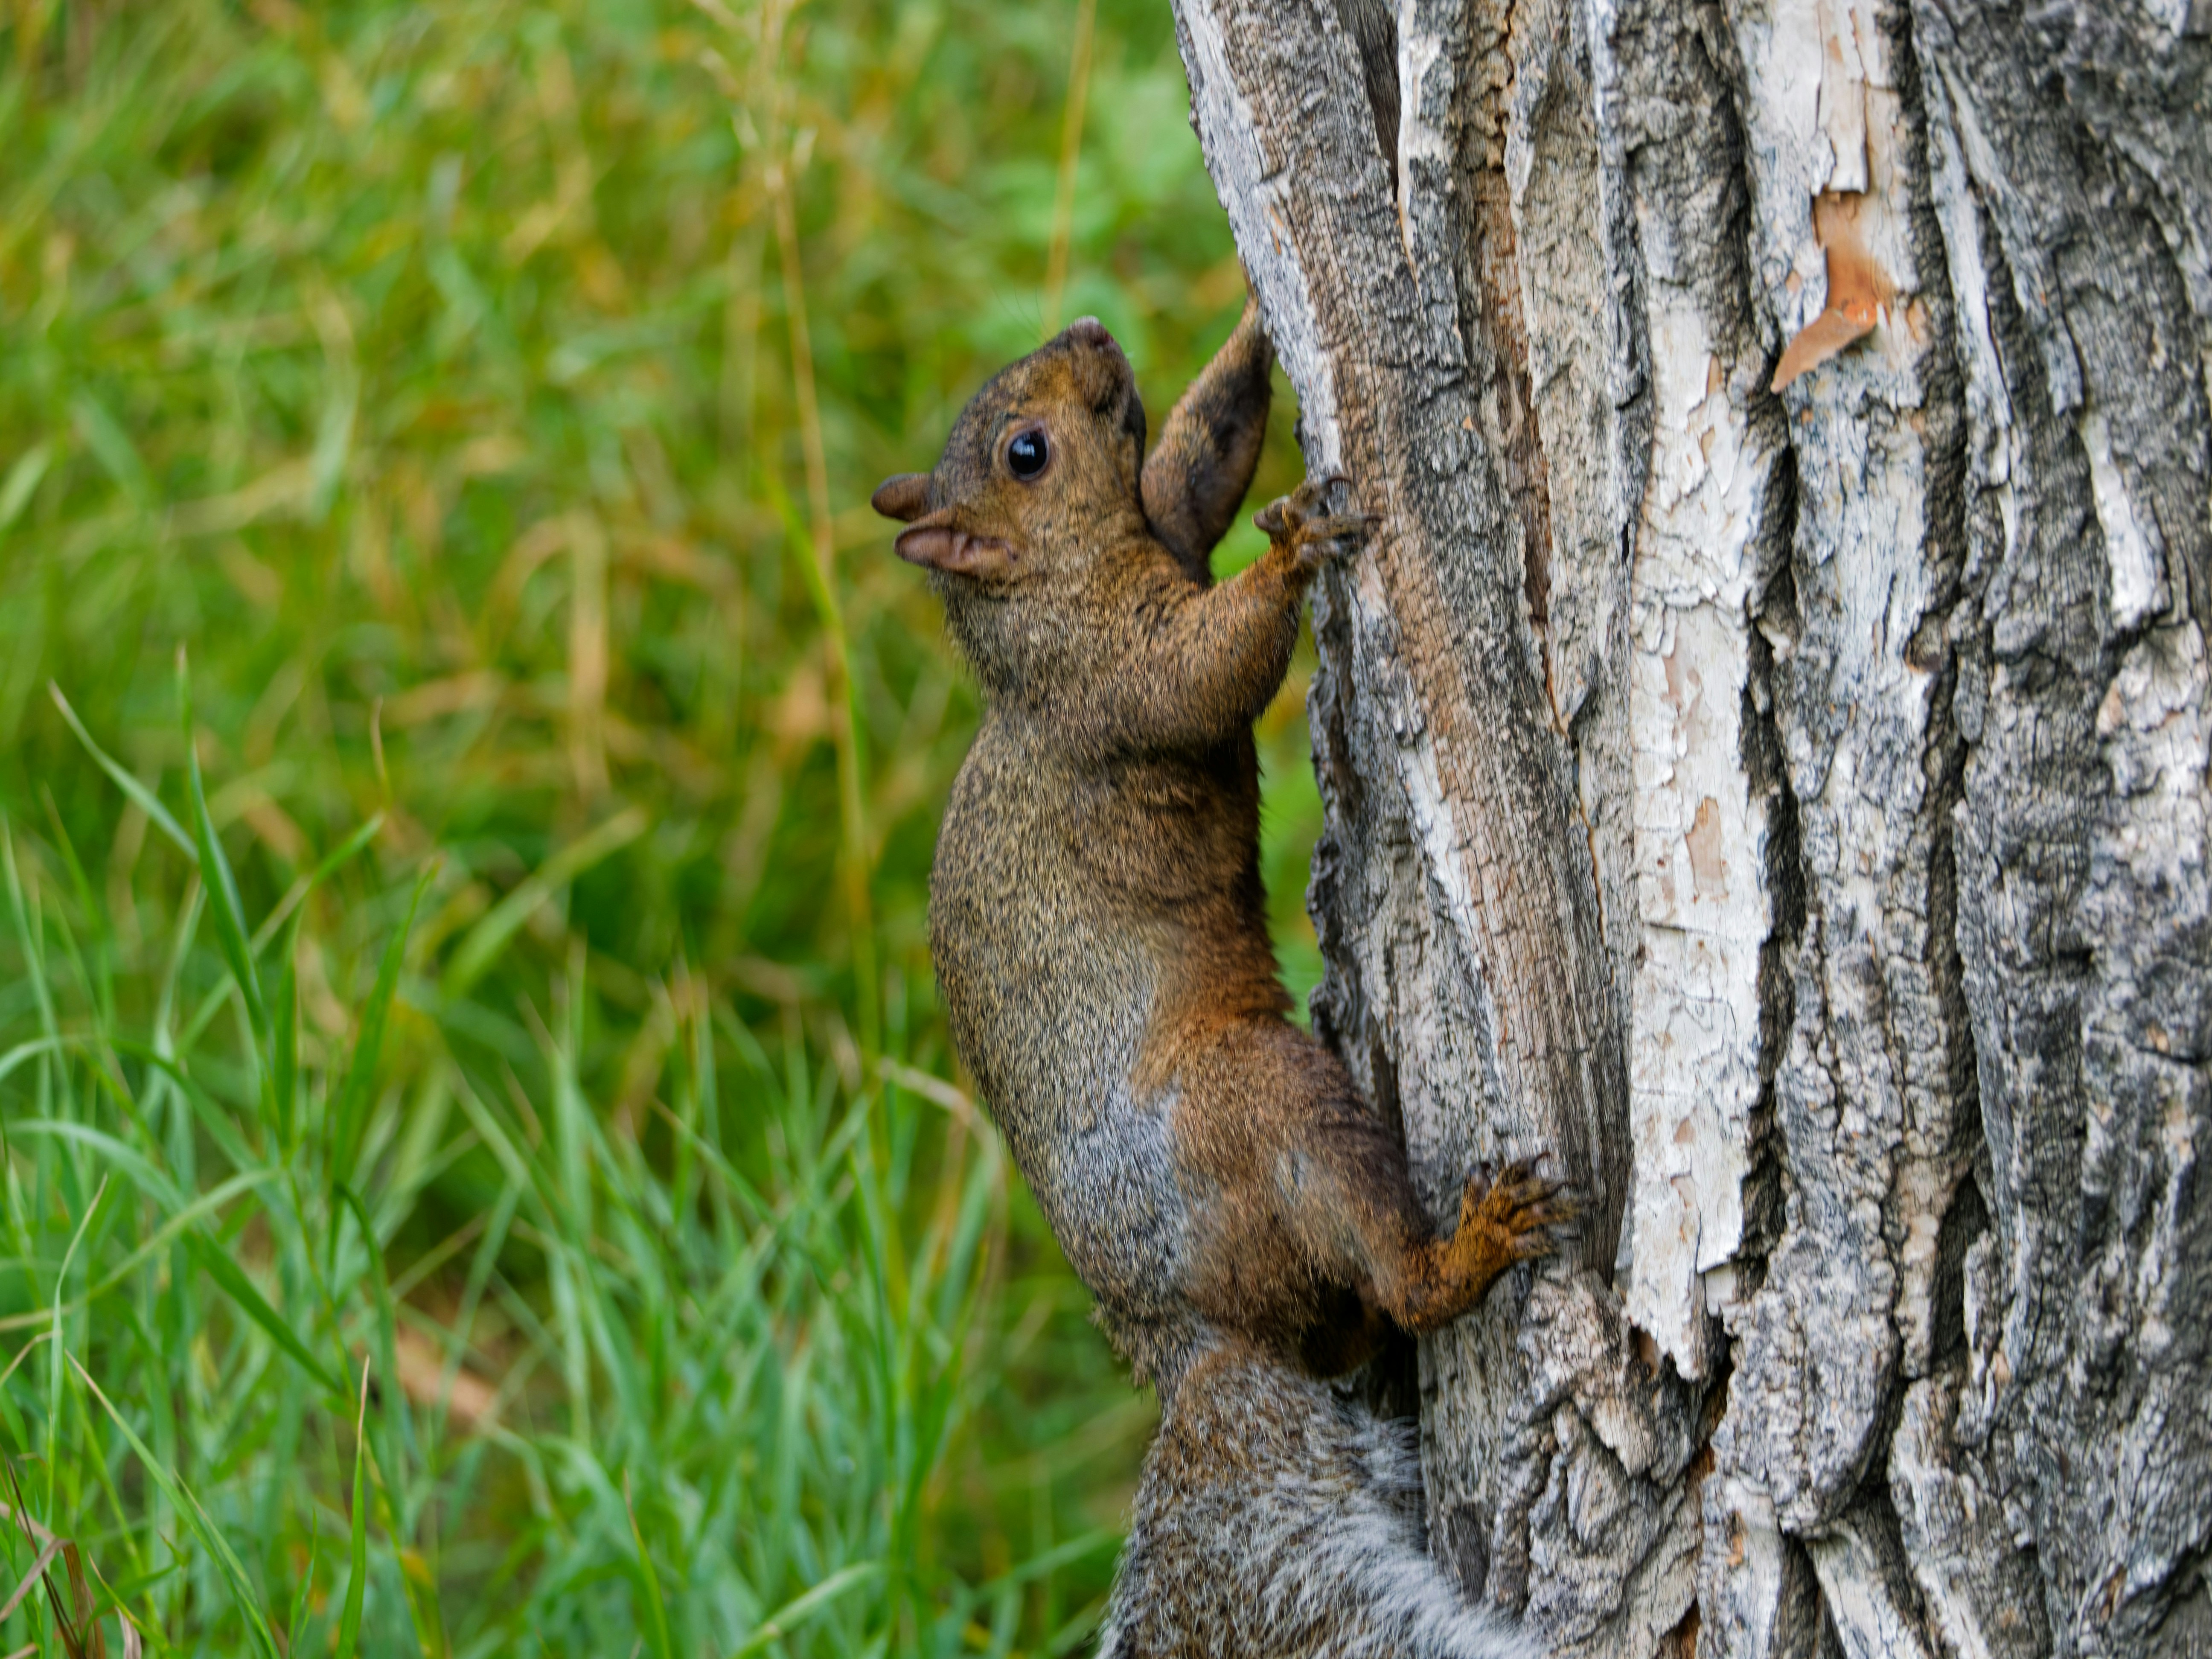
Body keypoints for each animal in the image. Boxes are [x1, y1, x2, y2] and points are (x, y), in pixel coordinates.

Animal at [873, 304, 1563, 1656]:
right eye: (1027, 452)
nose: (1091, 327)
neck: (1050, 599)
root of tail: (1191, 1345)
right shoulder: (1116, 680)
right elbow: (1208, 668)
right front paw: (1294, 552)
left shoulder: (1168, 525)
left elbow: (1197, 455)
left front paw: (1250, 323)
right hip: (1257, 1101)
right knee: (1390, 1281)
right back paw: (1463, 1253)